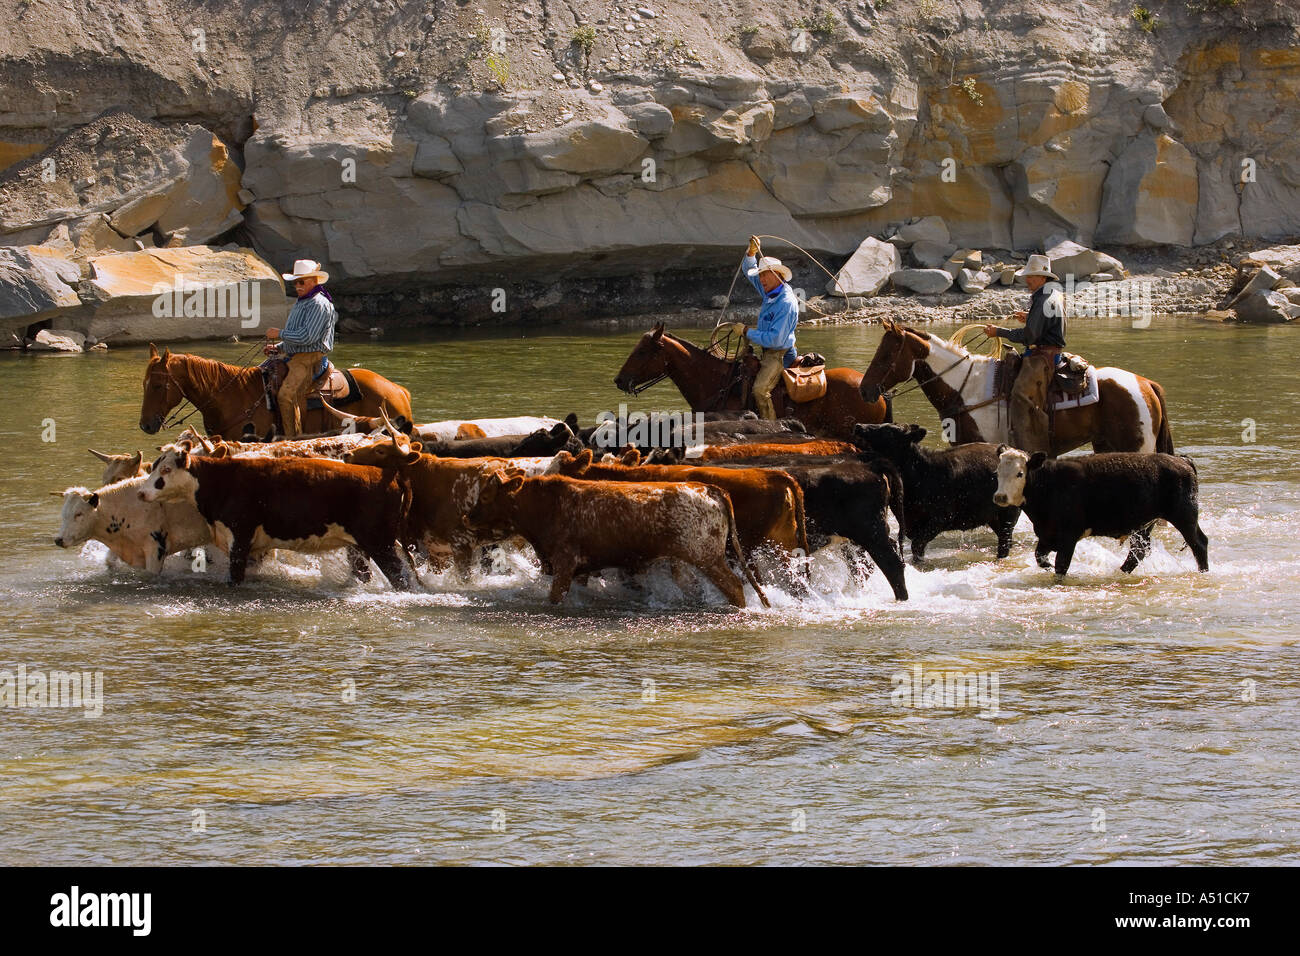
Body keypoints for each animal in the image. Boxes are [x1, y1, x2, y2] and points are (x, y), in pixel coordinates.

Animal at [139, 449, 417, 588]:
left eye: (166, 470)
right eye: (153, 467)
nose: (141, 492)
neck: (220, 480)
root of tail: (390, 475)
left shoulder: (240, 537)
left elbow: (235, 576)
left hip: (380, 544)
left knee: (400, 578)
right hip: (360, 547)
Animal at [463, 472, 768, 608]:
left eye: (487, 495)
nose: (468, 516)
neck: (545, 506)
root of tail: (709, 488)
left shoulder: (564, 562)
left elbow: (554, 597)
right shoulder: (579, 569)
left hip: (707, 557)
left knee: (734, 586)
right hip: (686, 560)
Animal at [853, 423, 1020, 562]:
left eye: (888, 431)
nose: (859, 426)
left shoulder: (942, 517)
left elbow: (917, 546)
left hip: (1009, 513)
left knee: (1004, 544)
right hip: (993, 516)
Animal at [993, 447, 1210, 576]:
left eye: (1020, 473)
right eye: (997, 472)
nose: (1000, 497)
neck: (1050, 484)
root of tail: (1181, 460)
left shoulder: (1068, 537)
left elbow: (1061, 567)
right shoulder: (1047, 535)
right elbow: (1040, 558)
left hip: (1185, 515)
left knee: (1199, 544)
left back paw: (1204, 572)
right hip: (1145, 523)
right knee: (1138, 551)